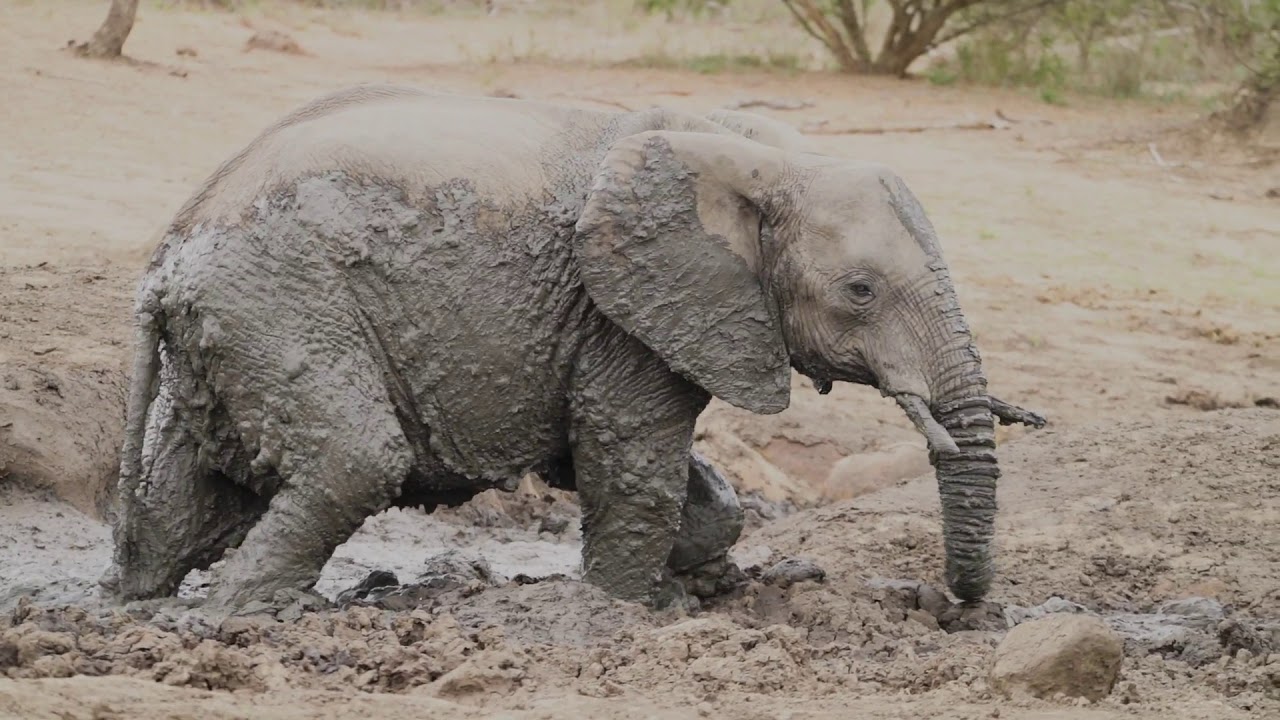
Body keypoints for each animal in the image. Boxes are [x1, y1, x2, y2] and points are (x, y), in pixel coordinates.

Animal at [99, 84, 1045, 613]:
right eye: (860, 292)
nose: (959, 608)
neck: (765, 157)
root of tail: (168, 253)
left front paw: (689, 580)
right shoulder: (626, 302)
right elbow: (629, 453)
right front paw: (627, 609)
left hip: (233, 327)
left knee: (197, 495)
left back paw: (140, 602)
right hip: (283, 302)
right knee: (352, 461)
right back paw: (239, 616)